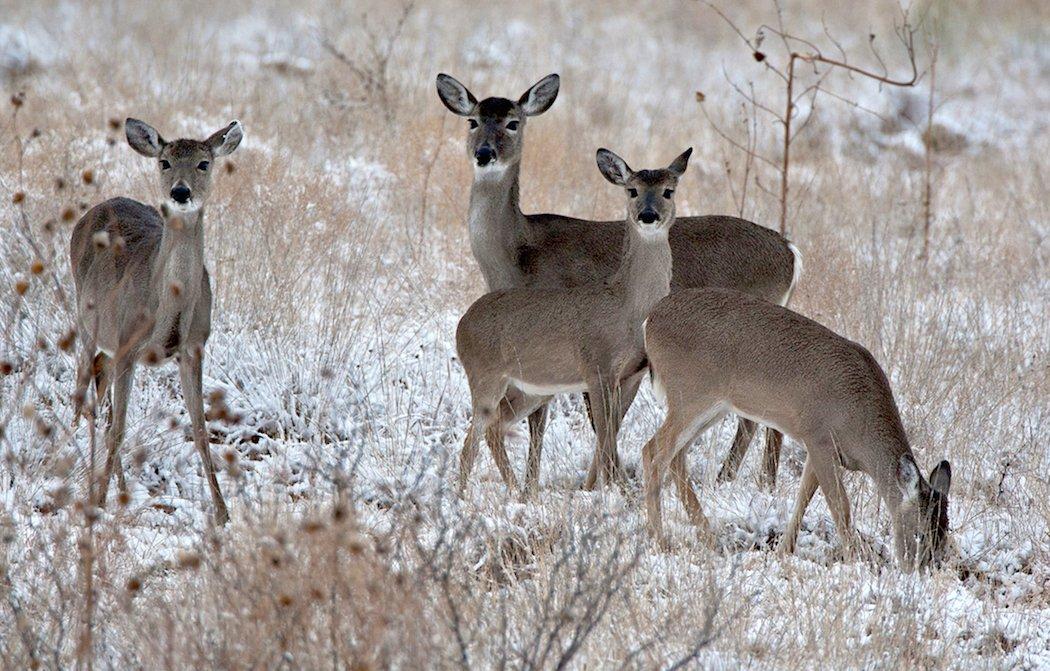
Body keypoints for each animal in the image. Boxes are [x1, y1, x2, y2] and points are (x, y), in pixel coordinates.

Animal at [69, 118, 243, 527]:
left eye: (204, 163)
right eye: (165, 162)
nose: (180, 192)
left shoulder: (194, 347)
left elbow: (200, 430)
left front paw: (222, 513)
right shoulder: (127, 344)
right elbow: (119, 429)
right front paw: (98, 502)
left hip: (109, 341)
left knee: (100, 382)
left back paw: (118, 485)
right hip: (87, 321)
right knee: (86, 388)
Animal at [457, 148, 688, 499]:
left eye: (668, 191)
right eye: (632, 191)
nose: (648, 215)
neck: (629, 307)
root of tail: (462, 325)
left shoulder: (630, 374)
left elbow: (610, 433)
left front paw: (608, 489)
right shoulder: (597, 367)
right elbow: (605, 436)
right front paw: (616, 492)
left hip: (531, 389)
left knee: (493, 428)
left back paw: (517, 491)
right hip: (485, 375)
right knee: (470, 441)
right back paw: (463, 496)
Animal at [638, 289, 953, 571]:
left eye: (944, 536)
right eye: (919, 533)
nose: (921, 572)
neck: (861, 427)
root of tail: (650, 318)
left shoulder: (819, 448)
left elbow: (803, 500)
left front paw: (782, 553)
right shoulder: (819, 438)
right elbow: (841, 507)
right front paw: (856, 563)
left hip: (713, 406)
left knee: (676, 457)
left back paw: (709, 538)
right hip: (691, 395)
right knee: (653, 450)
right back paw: (661, 541)